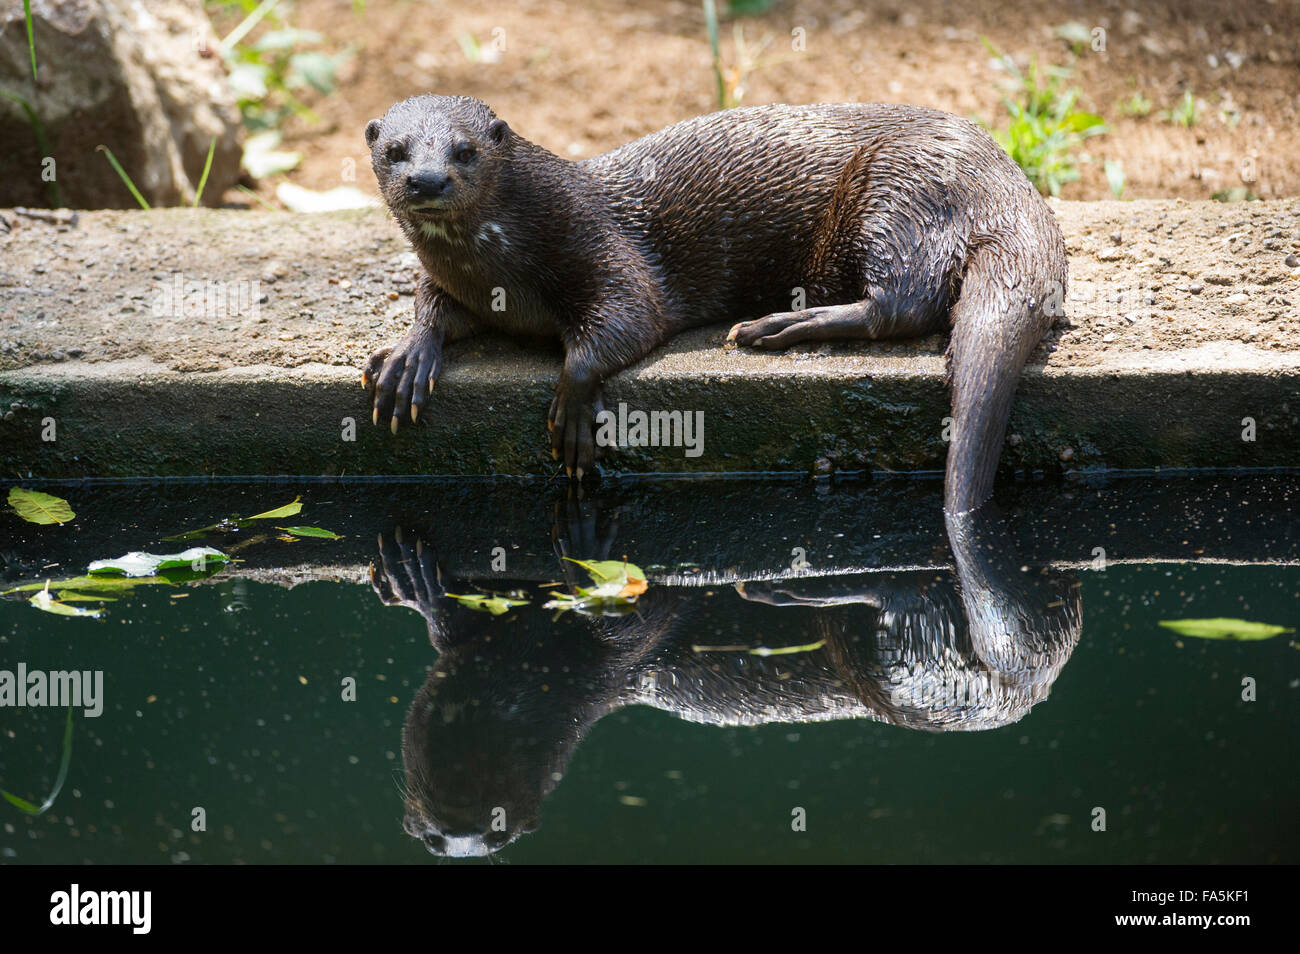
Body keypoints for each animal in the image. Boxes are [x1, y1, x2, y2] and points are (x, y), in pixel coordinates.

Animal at [362, 96, 1067, 514]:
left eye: (465, 150)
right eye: (395, 151)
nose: (427, 179)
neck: (499, 269)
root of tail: (1005, 180)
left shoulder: (602, 252)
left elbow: (622, 322)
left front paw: (573, 411)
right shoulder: (461, 284)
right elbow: (430, 301)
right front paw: (405, 358)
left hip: (895, 194)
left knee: (902, 305)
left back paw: (778, 324)